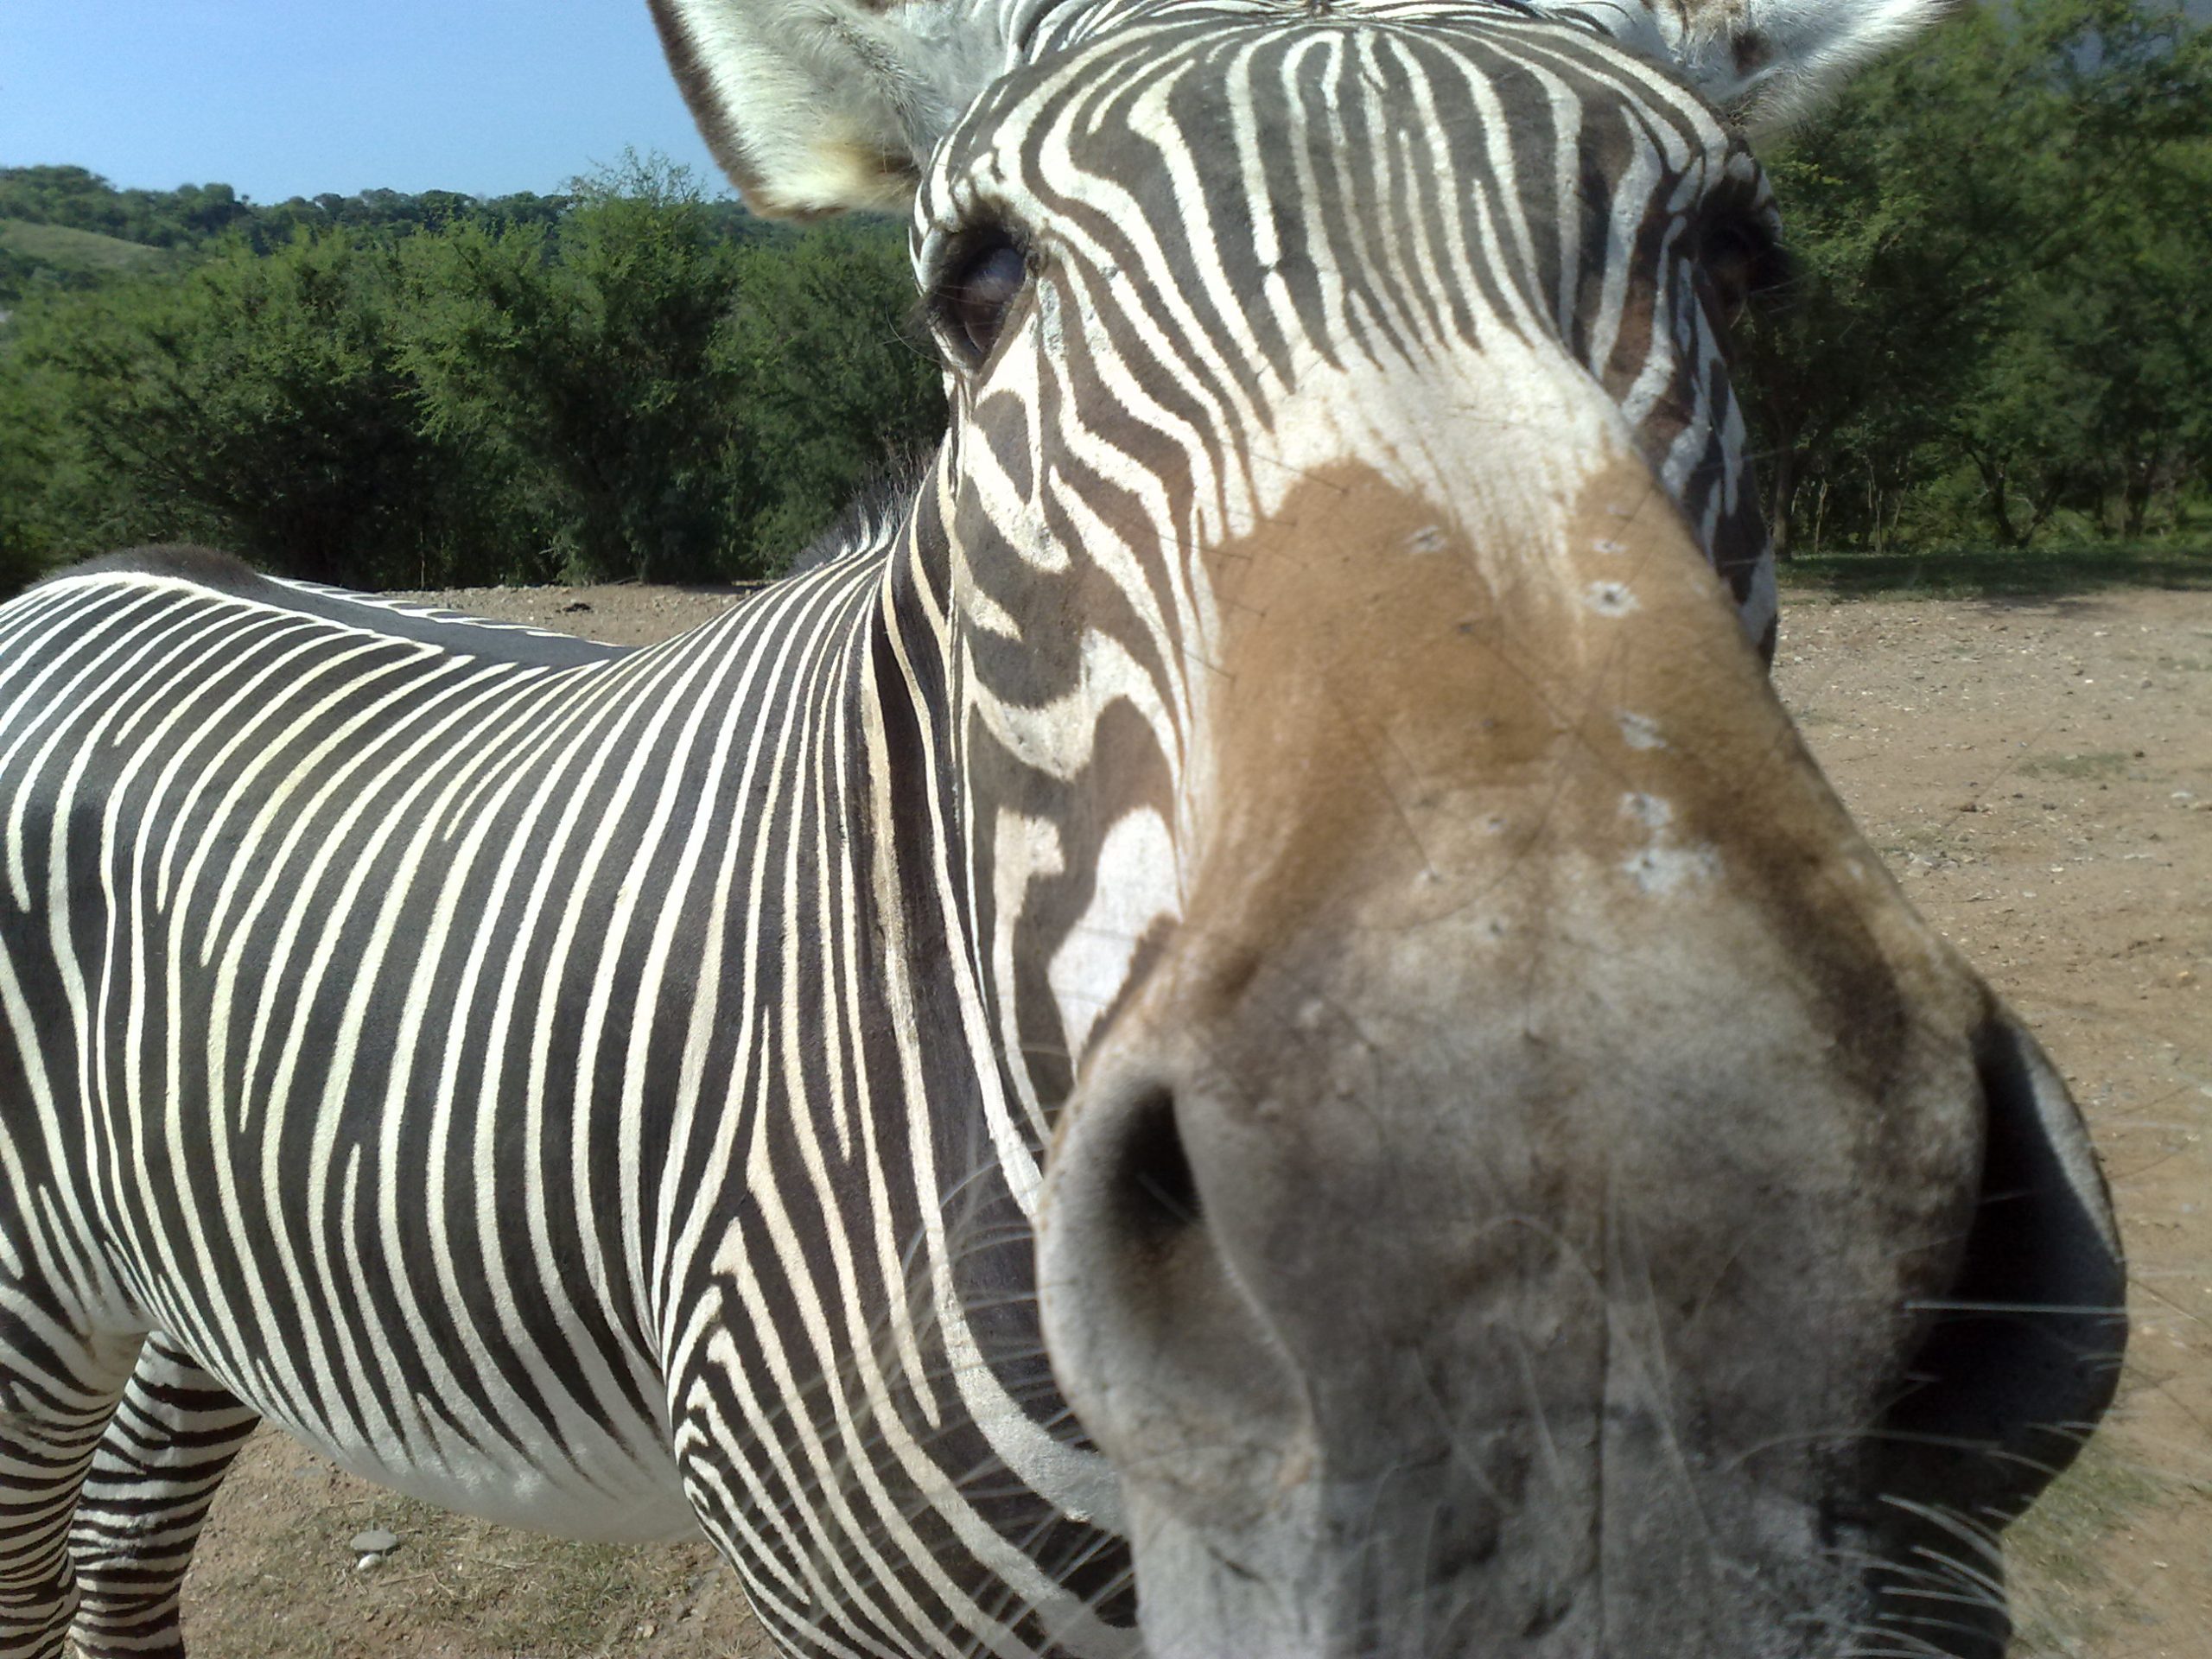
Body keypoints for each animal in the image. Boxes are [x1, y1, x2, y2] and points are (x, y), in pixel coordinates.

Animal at [0, 0, 2125, 1655]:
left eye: (1745, 252)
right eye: (979, 284)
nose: (1609, 1312)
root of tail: (96, 577)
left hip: (187, 1273)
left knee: (123, 1548)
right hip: (29, 1296)